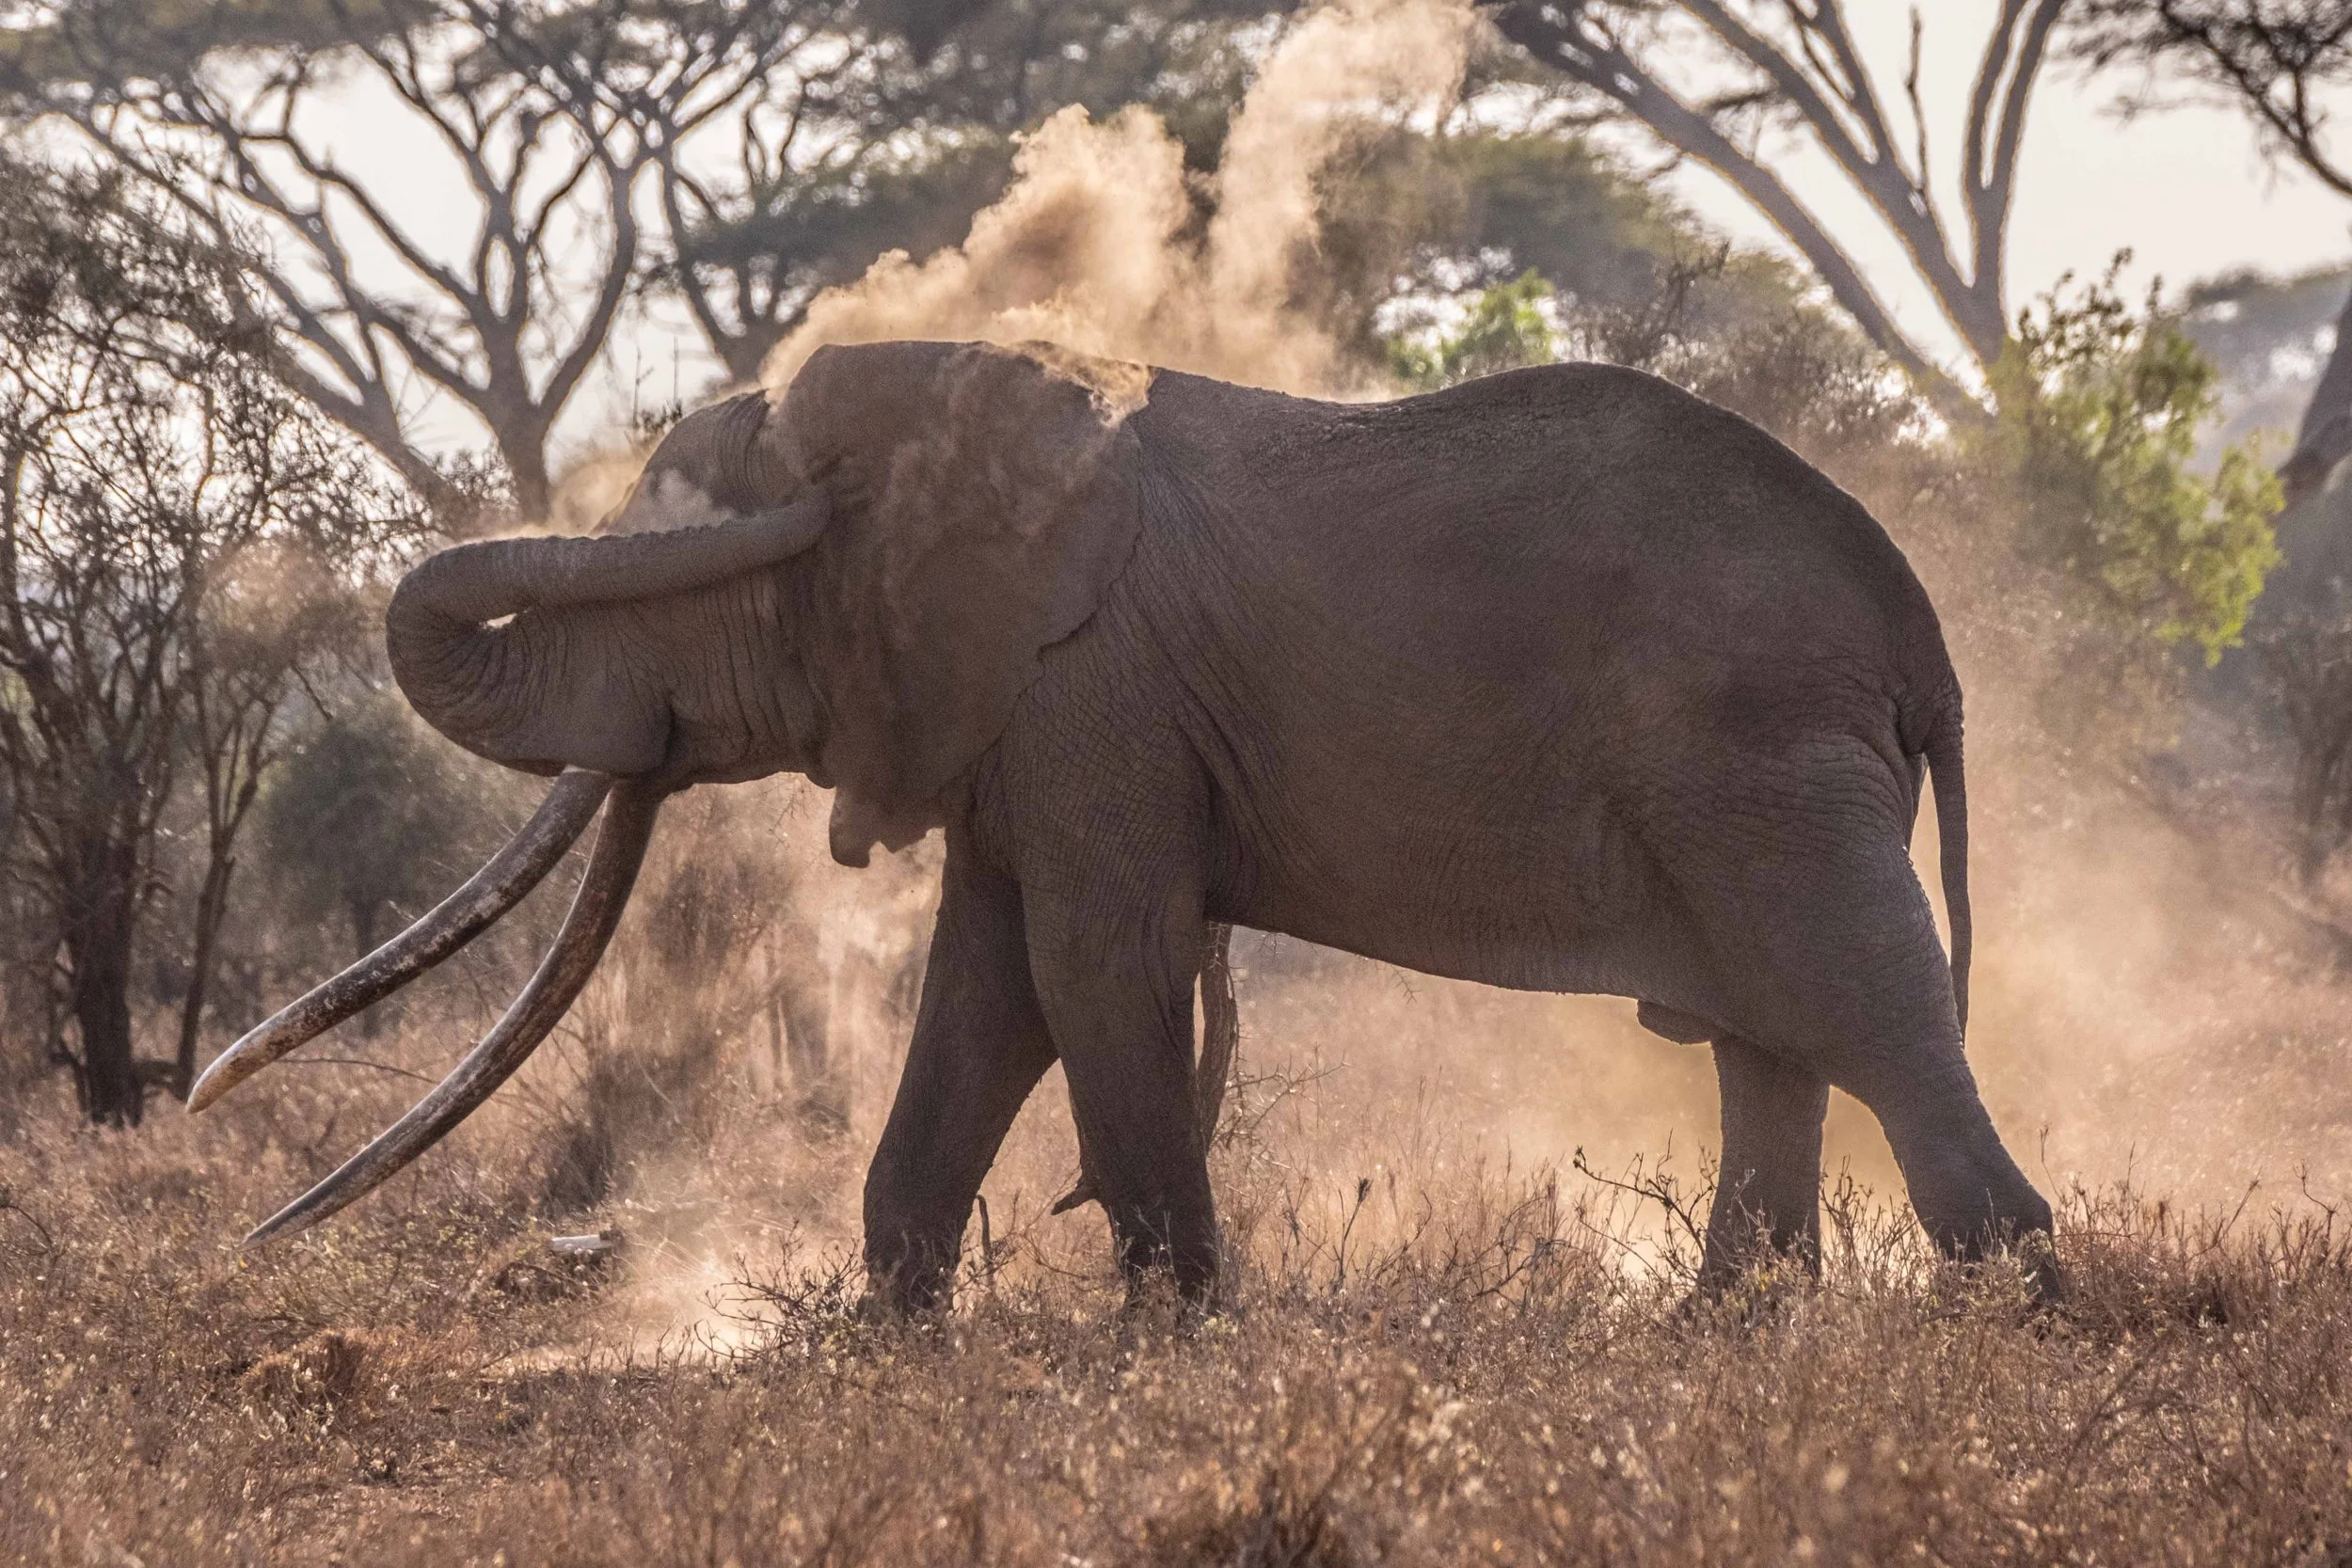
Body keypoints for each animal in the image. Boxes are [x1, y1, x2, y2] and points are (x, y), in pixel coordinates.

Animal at [190, 338, 2056, 1310]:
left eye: (680, 573)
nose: (215, 1121)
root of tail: (1927, 644)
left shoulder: (1094, 693)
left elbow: (1093, 968)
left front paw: (1175, 1341)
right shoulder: (1020, 714)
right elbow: (991, 989)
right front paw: (898, 1340)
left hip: (1762, 767)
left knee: (1858, 1012)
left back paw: (2008, 1305)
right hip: (1756, 775)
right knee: (1773, 1041)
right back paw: (1730, 1335)